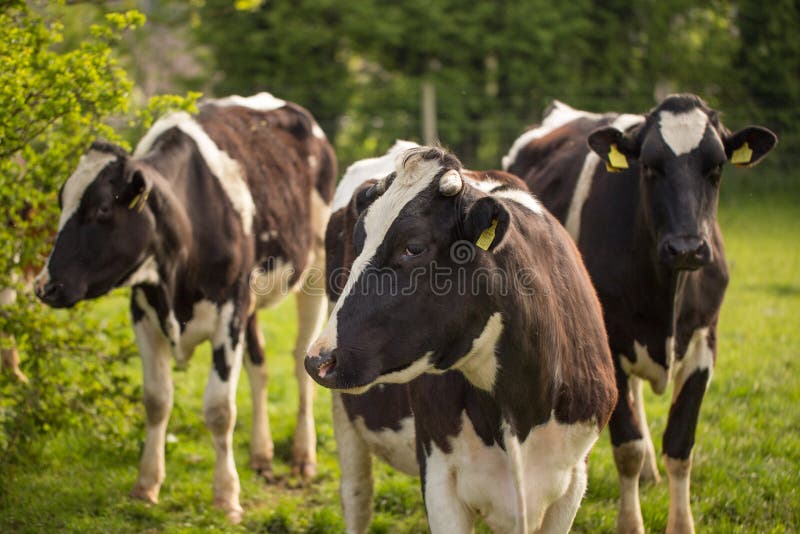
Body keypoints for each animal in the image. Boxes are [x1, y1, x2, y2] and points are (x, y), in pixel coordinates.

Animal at [33, 92, 336, 522]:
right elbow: (156, 400)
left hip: (313, 271)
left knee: (298, 364)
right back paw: (262, 455)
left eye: (102, 210)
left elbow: (220, 409)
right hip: (253, 300)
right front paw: (146, 485)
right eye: (62, 201)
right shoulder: (143, 312)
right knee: (259, 366)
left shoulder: (229, 312)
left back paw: (303, 457)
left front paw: (226, 497)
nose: (45, 286)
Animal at [503, 94, 777, 533]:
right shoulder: (610, 344)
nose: (686, 247)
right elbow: (626, 445)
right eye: (650, 167)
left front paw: (682, 523)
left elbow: (681, 446)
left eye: (716, 168)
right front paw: (631, 522)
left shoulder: (705, 342)